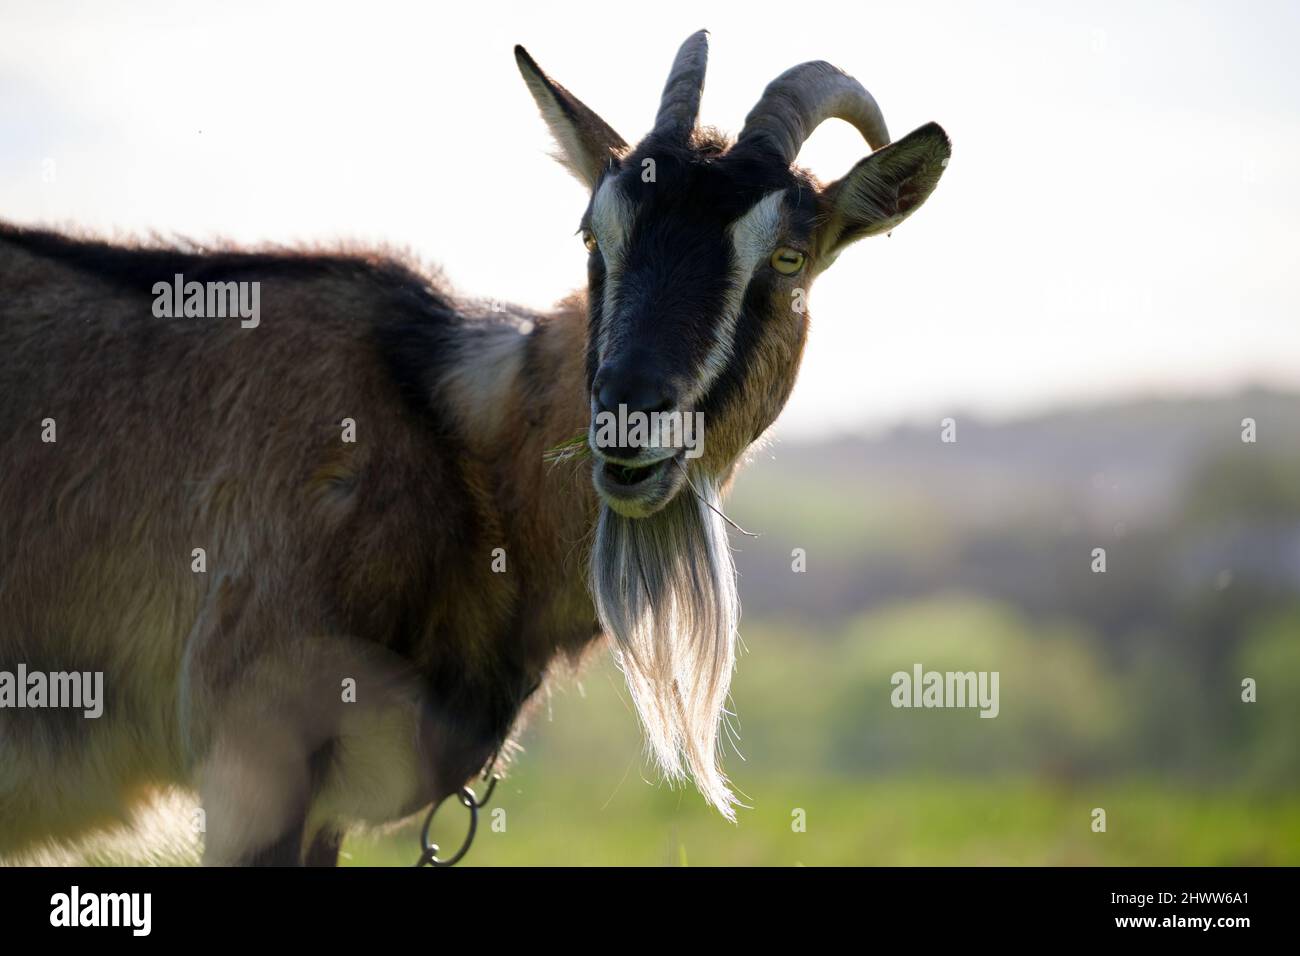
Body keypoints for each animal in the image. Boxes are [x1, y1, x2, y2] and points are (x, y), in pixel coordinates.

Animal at [0, 30, 949, 865]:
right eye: (593, 235)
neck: (452, 435)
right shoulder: (250, 754)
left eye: (789, 258)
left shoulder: (323, 804)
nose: (628, 417)